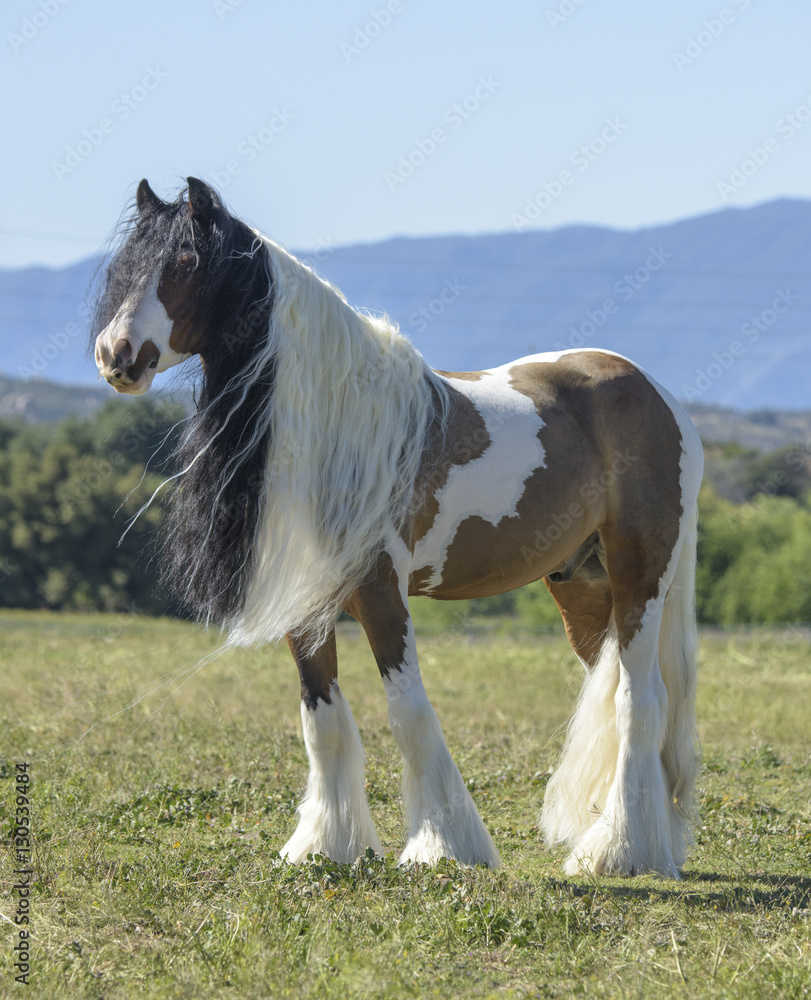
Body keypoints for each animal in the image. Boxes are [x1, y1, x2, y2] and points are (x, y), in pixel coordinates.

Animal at [91, 177, 704, 877]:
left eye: (187, 261)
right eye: (125, 266)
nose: (115, 355)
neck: (335, 427)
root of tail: (657, 395)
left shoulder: (381, 590)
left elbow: (407, 710)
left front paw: (446, 846)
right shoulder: (308, 608)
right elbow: (323, 719)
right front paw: (326, 846)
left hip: (640, 577)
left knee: (639, 701)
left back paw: (617, 852)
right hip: (581, 588)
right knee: (625, 697)